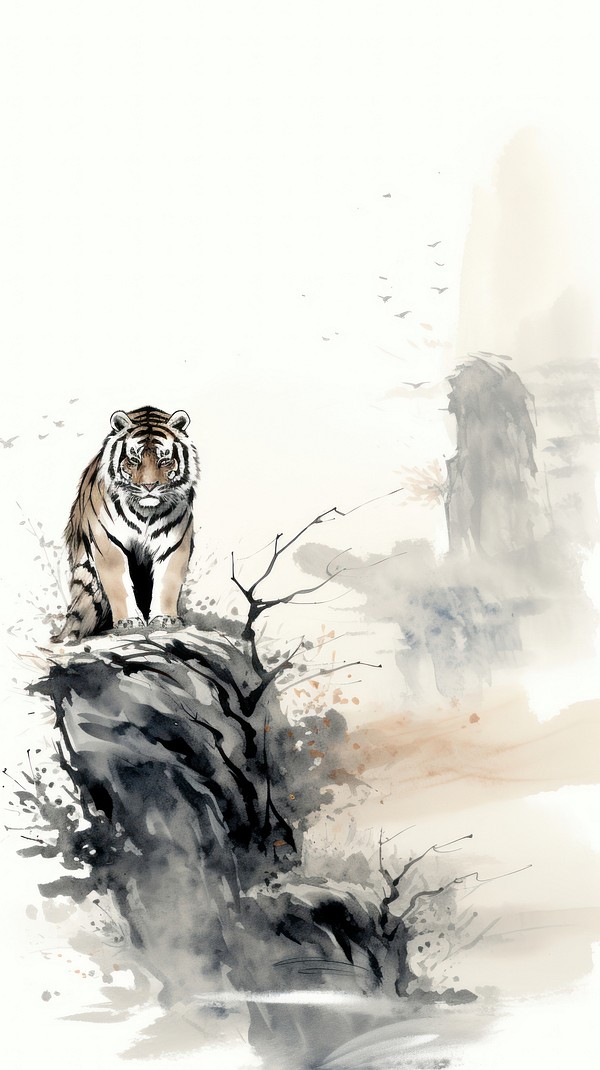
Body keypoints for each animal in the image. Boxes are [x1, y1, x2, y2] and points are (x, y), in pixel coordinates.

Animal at [52, 406, 199, 644]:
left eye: (164, 460)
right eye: (134, 459)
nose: (149, 486)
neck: (146, 512)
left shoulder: (173, 542)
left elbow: (167, 582)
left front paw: (165, 619)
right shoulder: (108, 542)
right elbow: (119, 584)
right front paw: (129, 621)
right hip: (88, 583)